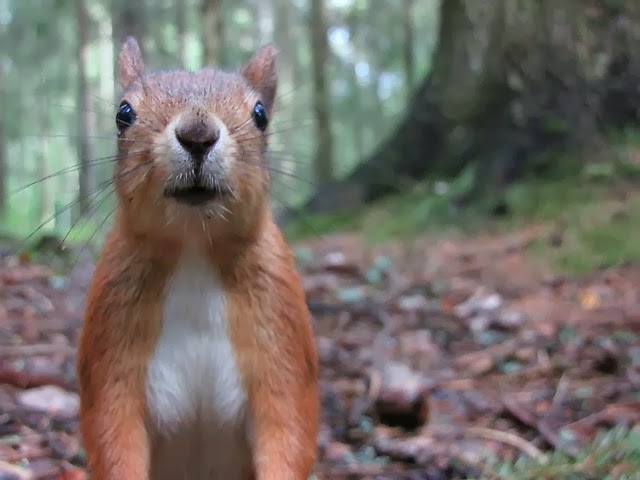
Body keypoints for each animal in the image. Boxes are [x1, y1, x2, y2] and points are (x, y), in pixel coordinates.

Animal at [76, 37, 320, 480]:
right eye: (123, 113)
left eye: (260, 114)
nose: (198, 134)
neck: (194, 250)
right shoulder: (110, 344)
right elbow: (111, 428)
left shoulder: (282, 338)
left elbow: (289, 424)